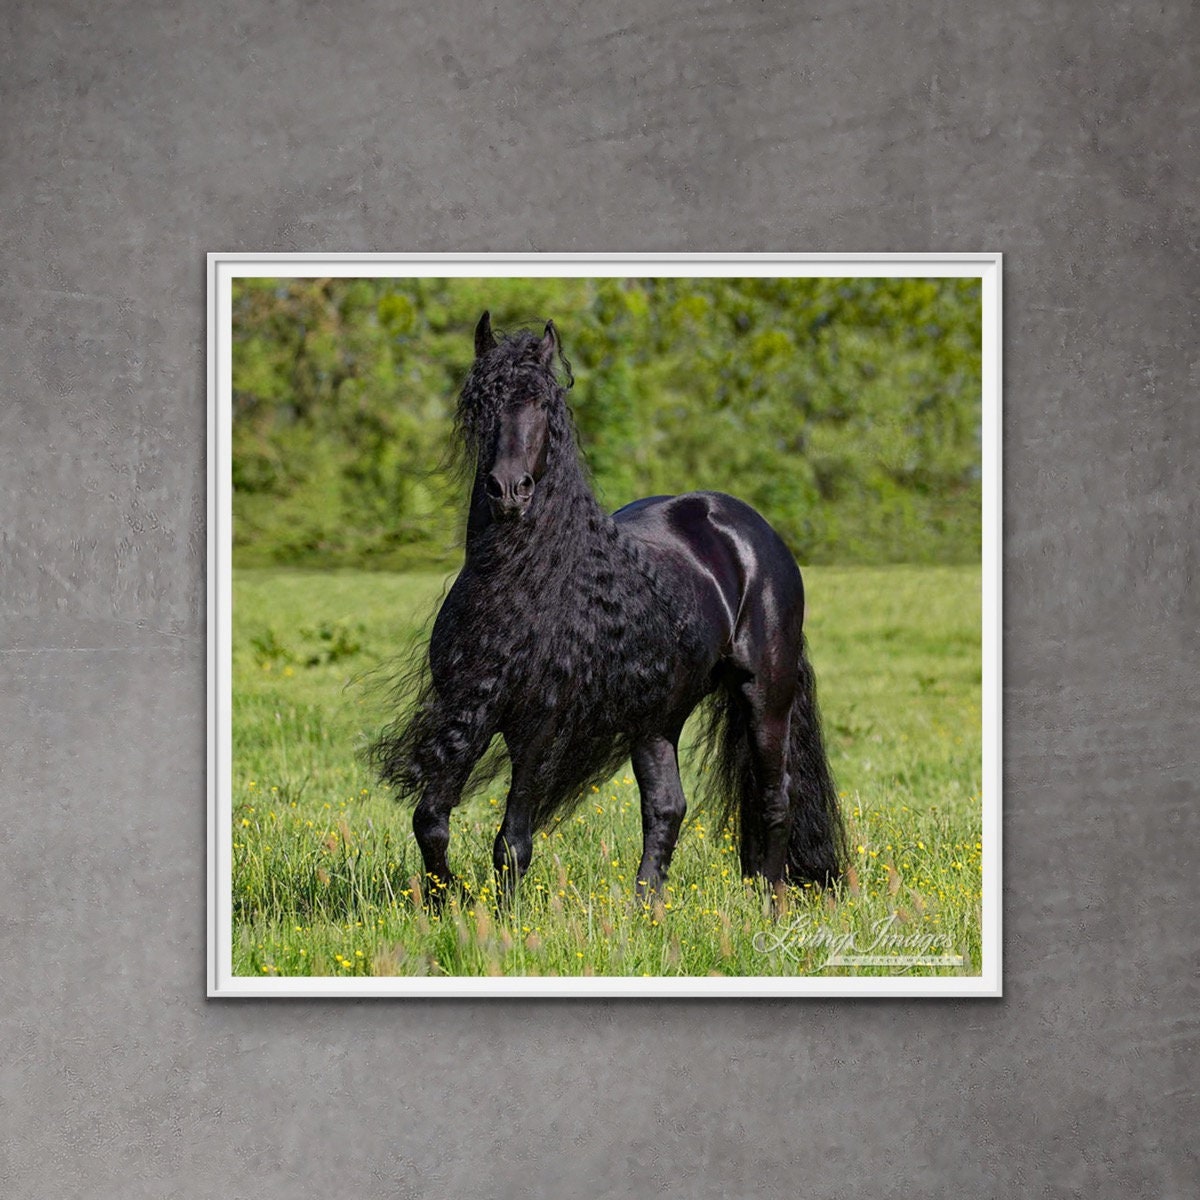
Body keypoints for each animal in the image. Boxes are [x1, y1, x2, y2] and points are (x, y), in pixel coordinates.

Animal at [370, 312, 845, 908]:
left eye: (544, 402)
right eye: (480, 402)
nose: (509, 490)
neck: (523, 582)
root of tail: (749, 529)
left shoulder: (538, 725)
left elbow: (512, 842)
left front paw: (499, 920)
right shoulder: (469, 710)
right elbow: (430, 820)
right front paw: (445, 903)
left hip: (765, 692)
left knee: (774, 796)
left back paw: (772, 905)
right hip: (659, 716)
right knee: (667, 807)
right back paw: (647, 908)